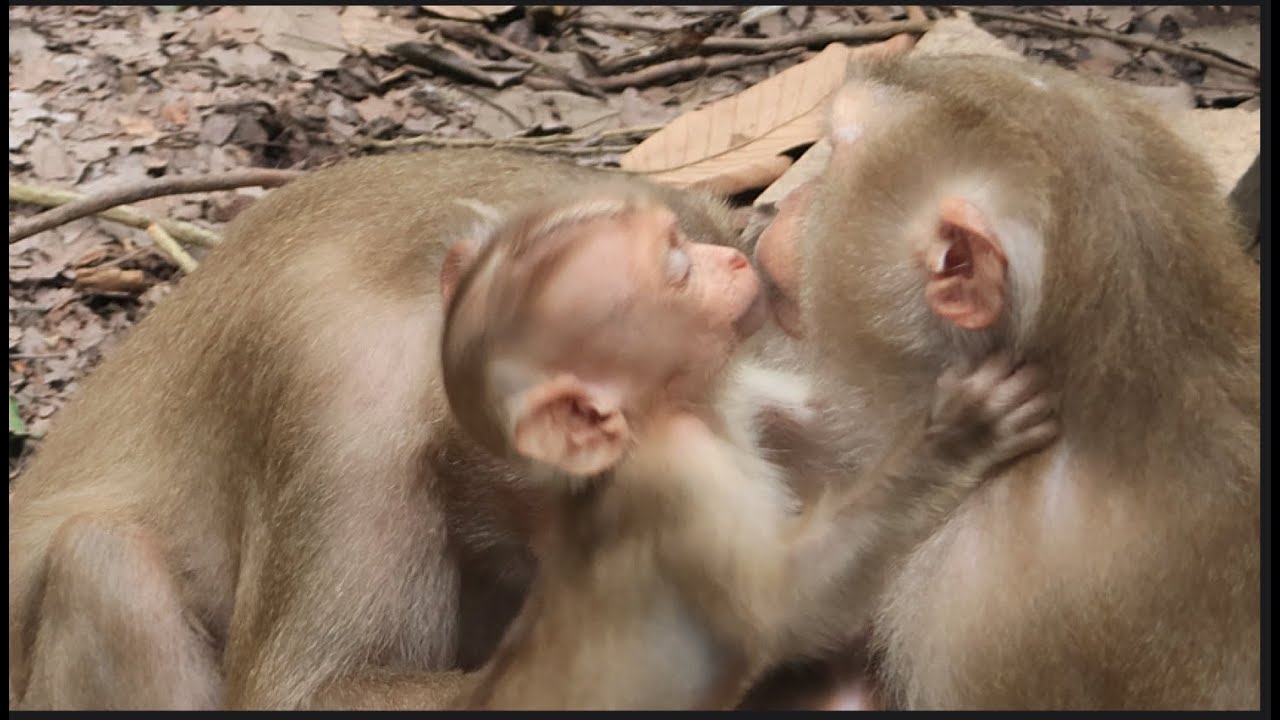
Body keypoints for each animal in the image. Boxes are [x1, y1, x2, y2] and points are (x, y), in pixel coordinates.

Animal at [434, 189, 1059, 710]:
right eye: (680, 268)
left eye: (684, 242)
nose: (734, 257)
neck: (672, 415)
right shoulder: (680, 482)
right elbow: (784, 608)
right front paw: (957, 436)